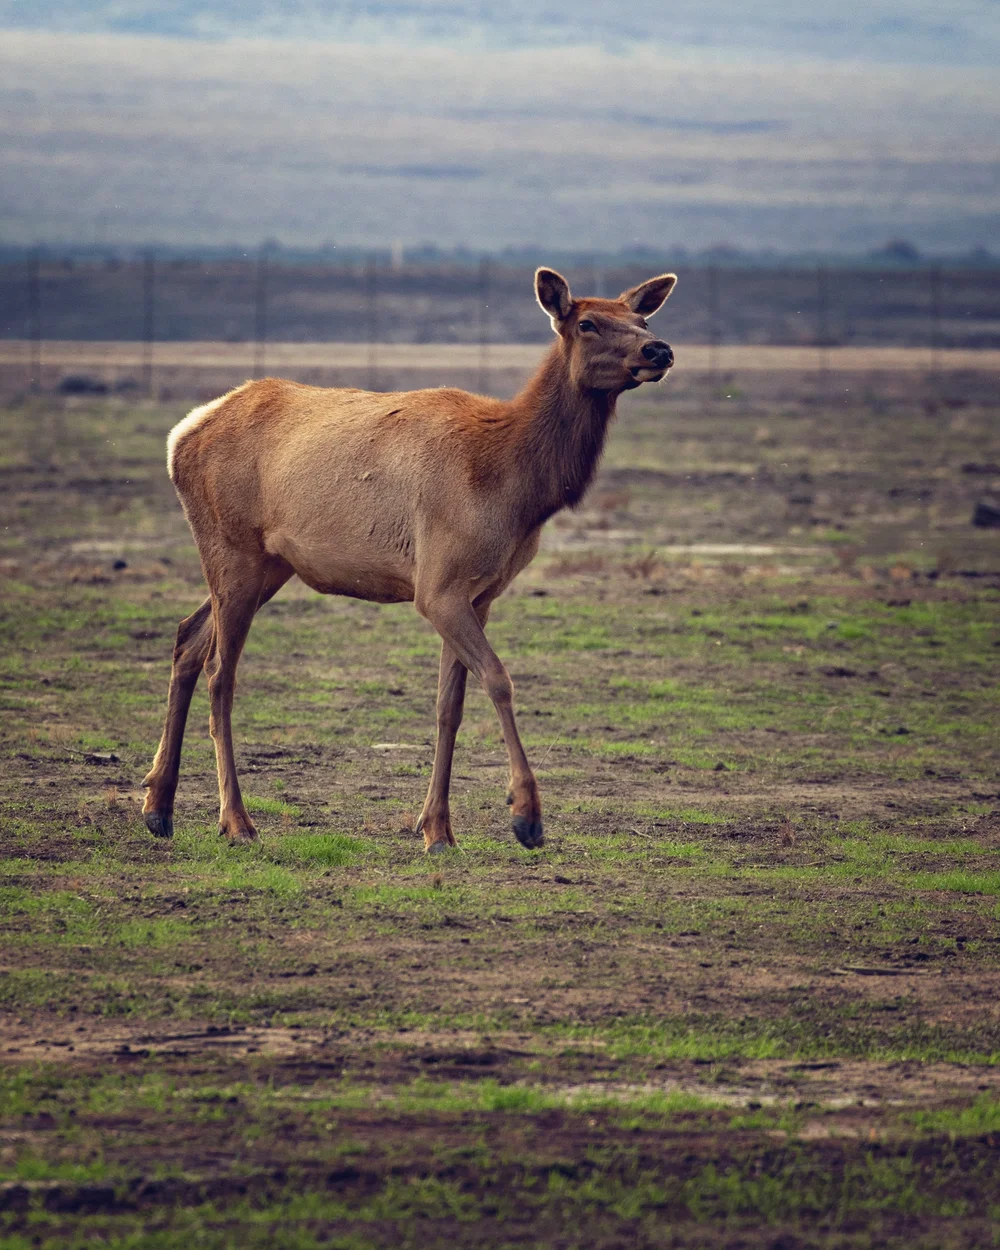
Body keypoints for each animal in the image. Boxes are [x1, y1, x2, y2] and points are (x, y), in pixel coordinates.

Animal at [142, 266, 676, 853]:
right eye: (587, 323)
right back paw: (235, 821)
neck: (516, 487)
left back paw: (158, 807)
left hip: (267, 563)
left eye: (642, 318)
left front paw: (437, 828)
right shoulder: (438, 584)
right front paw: (526, 816)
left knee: (188, 639)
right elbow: (498, 678)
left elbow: (449, 706)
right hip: (232, 546)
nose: (659, 348)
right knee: (221, 671)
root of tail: (179, 437)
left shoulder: (479, 593)